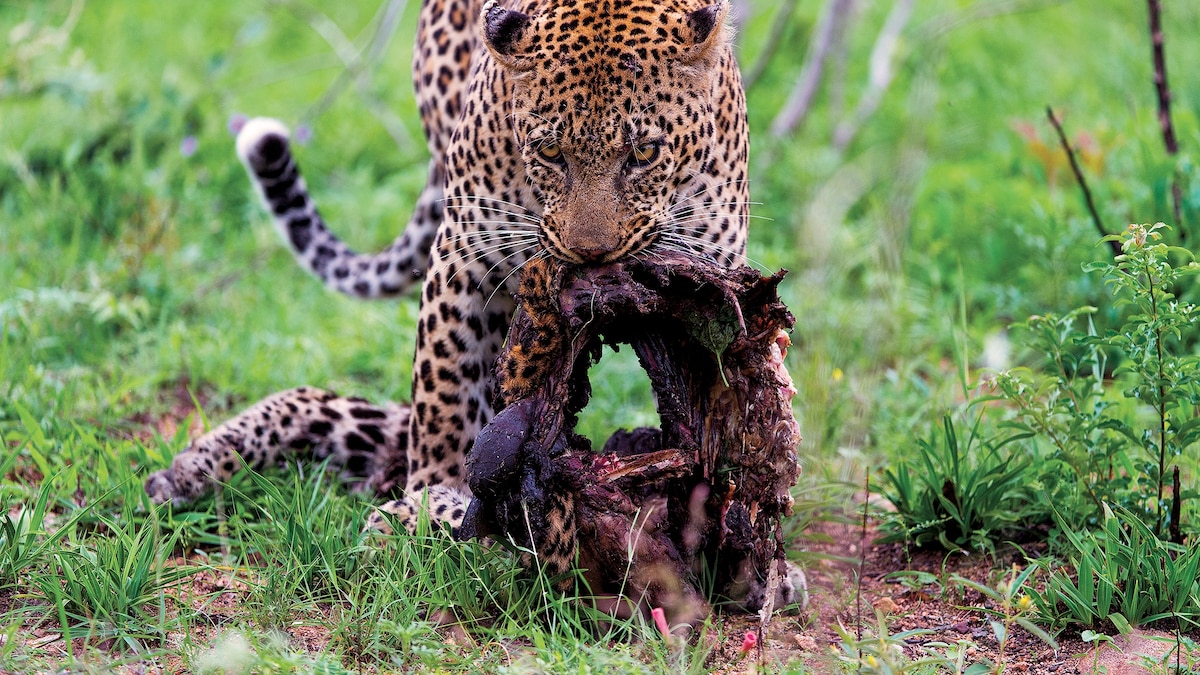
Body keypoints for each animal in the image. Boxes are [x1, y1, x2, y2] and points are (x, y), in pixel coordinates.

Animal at [145, 0, 804, 610]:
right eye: (550, 154)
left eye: (643, 154)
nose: (591, 255)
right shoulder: (462, 260)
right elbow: (444, 400)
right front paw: (433, 504)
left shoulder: (711, 276)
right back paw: (194, 469)